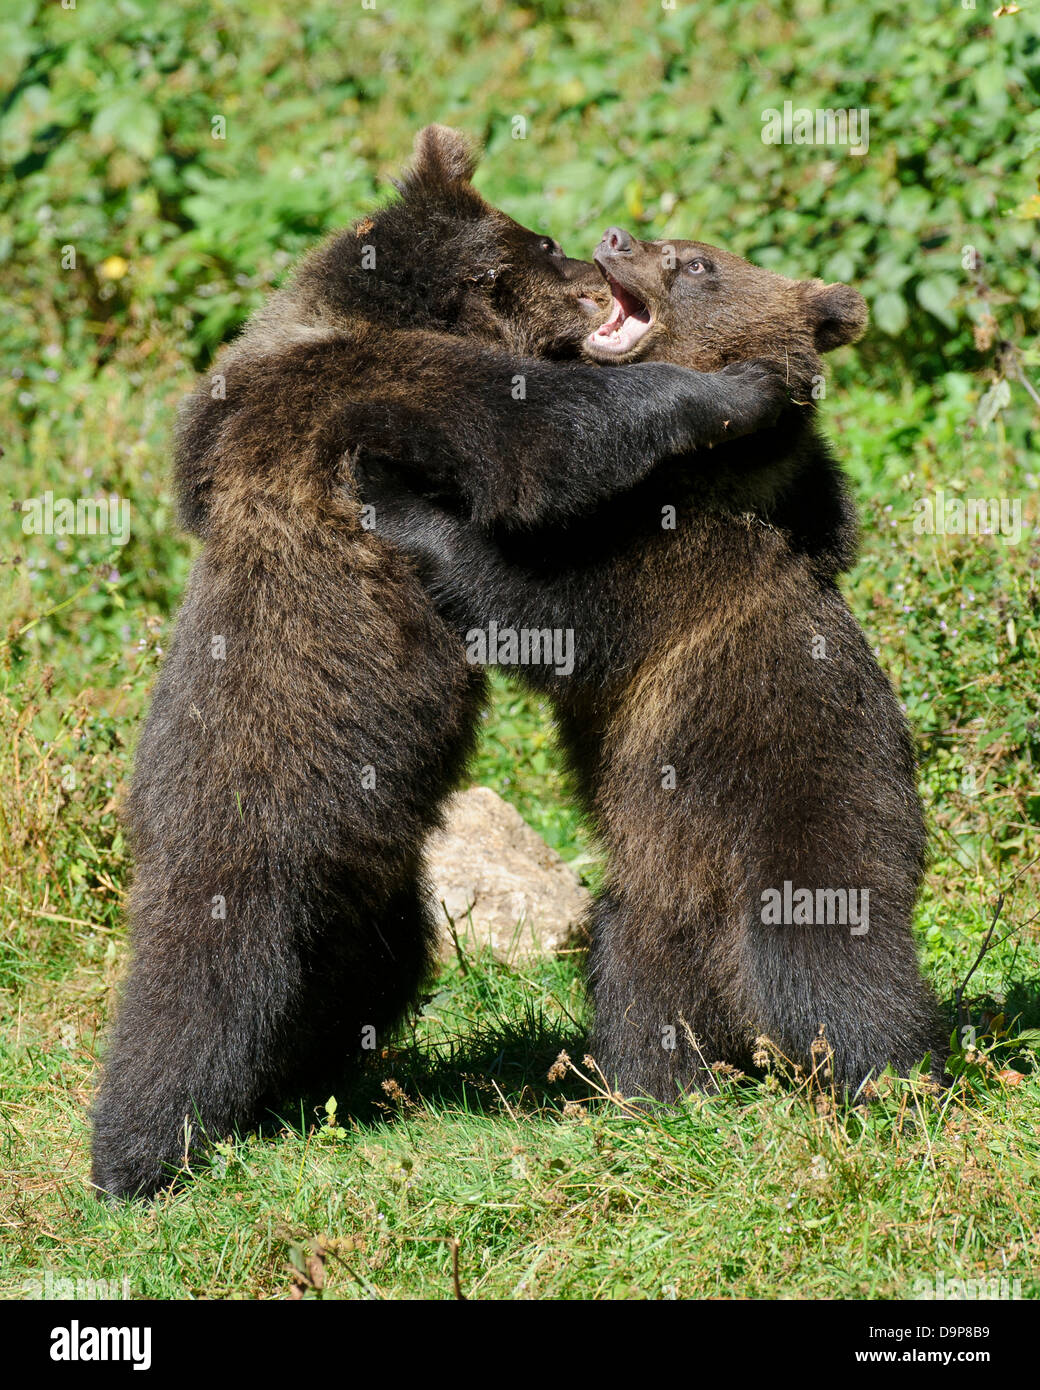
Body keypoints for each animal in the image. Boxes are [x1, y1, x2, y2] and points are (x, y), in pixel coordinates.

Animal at [90, 132, 791, 1199]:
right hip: (248, 828)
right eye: (541, 242)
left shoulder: (224, 408)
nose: (598, 252)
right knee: (198, 985)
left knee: (367, 974)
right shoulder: (379, 390)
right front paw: (738, 389)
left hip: (375, 888)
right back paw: (138, 1153)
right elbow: (540, 438)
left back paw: (310, 1082)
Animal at [369, 225, 945, 1100]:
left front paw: (395, 486)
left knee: (834, 968)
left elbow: (544, 610)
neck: (696, 468)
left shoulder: (674, 561)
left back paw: (892, 1076)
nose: (615, 238)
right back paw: (651, 1084)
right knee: (638, 977)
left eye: (698, 262)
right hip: (658, 885)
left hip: (801, 827)